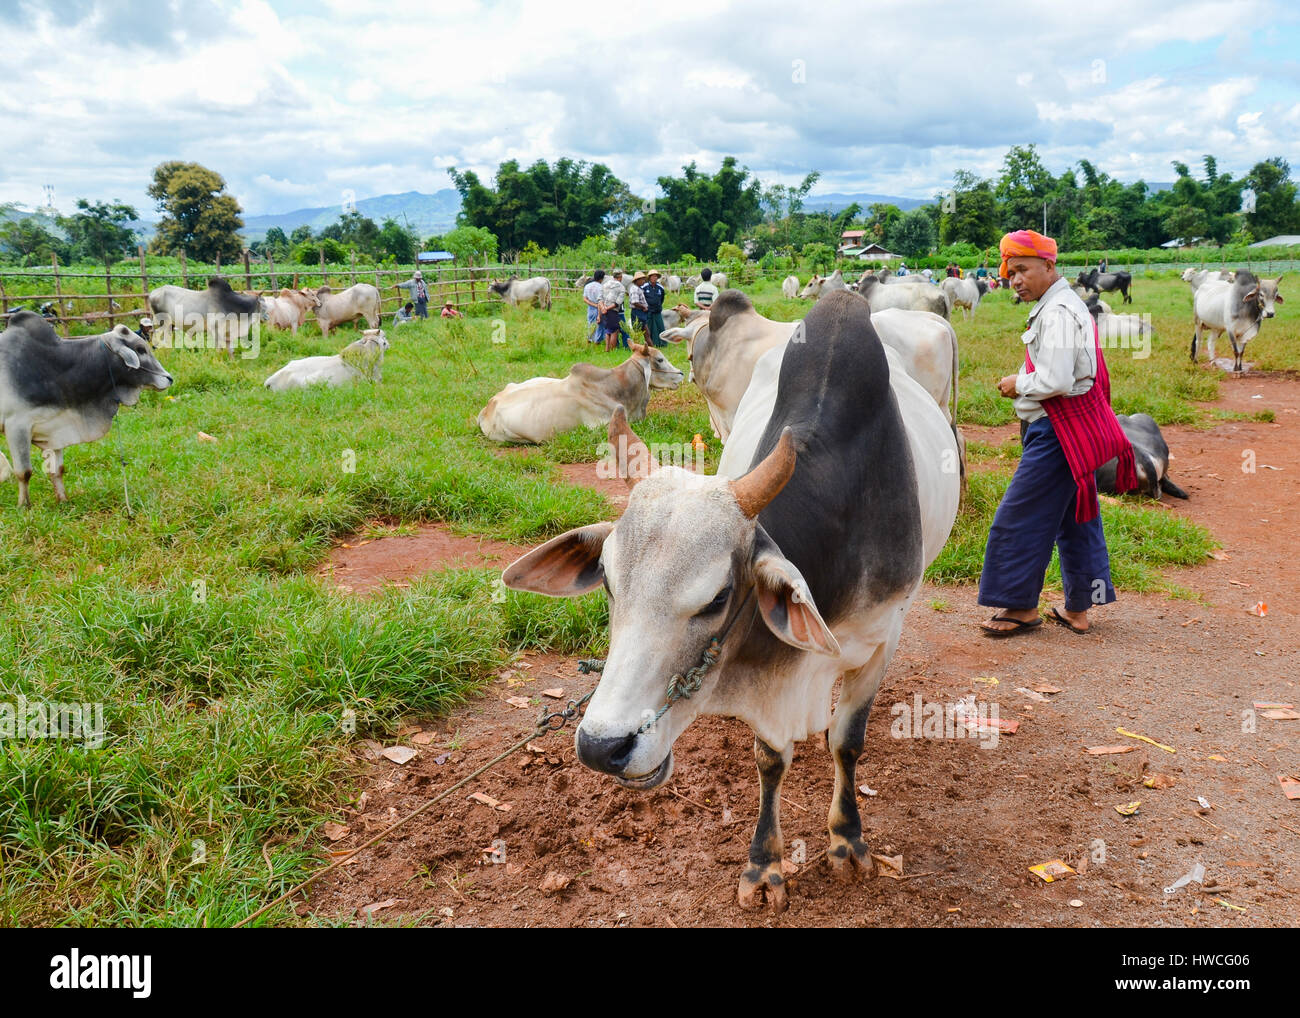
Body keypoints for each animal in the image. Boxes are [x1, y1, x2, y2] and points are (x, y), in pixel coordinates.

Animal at [0, 312, 173, 507]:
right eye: (140, 349)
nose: (169, 378)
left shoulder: (56, 428)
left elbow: (57, 469)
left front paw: (63, 500)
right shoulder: (16, 425)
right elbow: (24, 472)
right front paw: (23, 506)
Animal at [501, 291, 960, 912]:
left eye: (718, 597)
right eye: (609, 584)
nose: (602, 747)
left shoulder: (880, 639)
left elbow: (847, 742)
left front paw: (848, 841)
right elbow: (770, 758)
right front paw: (764, 866)